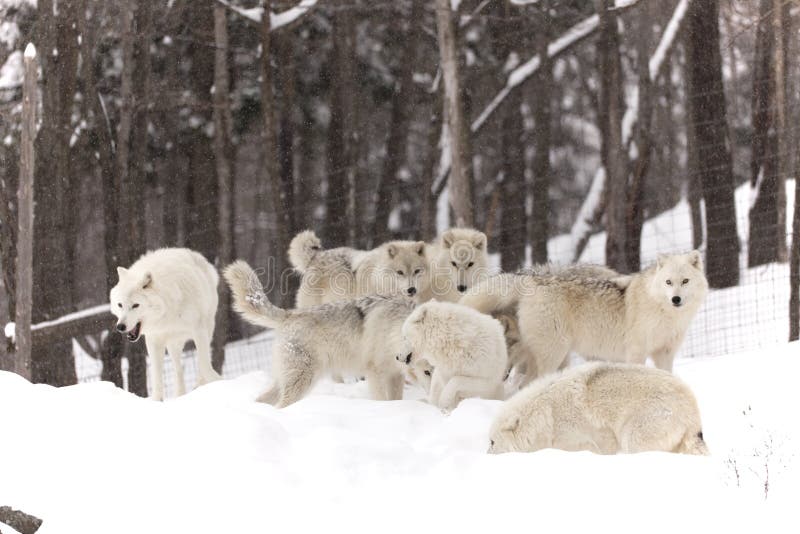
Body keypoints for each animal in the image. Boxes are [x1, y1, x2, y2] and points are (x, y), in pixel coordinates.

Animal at [109, 248, 222, 401]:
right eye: (120, 305)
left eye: (135, 305)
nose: (120, 327)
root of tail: (194, 254)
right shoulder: (154, 340)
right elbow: (156, 376)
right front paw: (156, 400)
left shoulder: (199, 331)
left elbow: (204, 364)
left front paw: (217, 381)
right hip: (173, 345)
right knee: (178, 368)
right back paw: (180, 394)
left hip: (208, 328)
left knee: (199, 362)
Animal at [224, 260, 415, 408]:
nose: (403, 357)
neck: (393, 330)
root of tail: (289, 314)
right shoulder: (376, 372)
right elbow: (382, 400)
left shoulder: (395, 375)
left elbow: (396, 398)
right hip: (303, 380)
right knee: (281, 405)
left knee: (262, 400)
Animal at [460, 252, 707, 376]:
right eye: (668, 282)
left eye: (685, 281)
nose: (676, 299)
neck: (664, 312)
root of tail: (533, 279)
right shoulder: (636, 352)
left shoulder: (665, 353)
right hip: (554, 353)